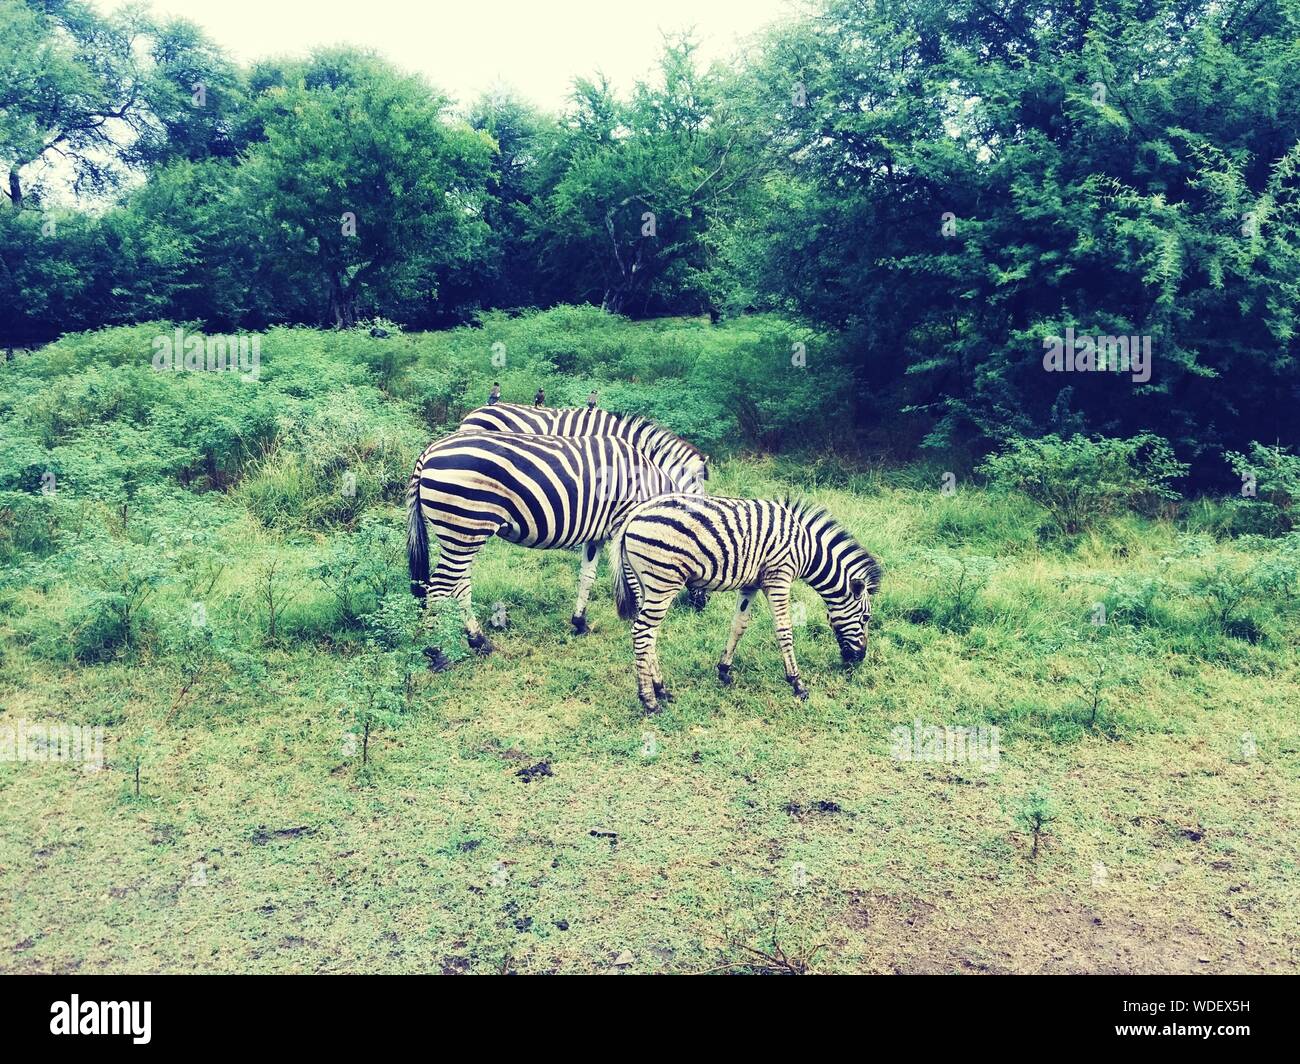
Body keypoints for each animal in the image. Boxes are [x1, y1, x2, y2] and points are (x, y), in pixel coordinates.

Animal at [406, 431, 707, 668]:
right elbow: (633, 579)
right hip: (465, 525)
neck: (648, 485)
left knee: (459, 586)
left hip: (461, 532)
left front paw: (580, 622)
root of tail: (430, 451)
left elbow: (587, 577)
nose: (702, 607)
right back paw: (437, 654)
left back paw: (479, 641)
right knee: (440, 588)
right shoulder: (623, 525)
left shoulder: (596, 534)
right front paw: (635, 614)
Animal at [610, 494, 882, 714]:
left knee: (649, 634)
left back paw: (661, 690)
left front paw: (724, 670)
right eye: (866, 618)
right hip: (664, 579)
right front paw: (797, 684)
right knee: (642, 632)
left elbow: (739, 625)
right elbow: (784, 630)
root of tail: (635, 513)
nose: (858, 659)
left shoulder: (751, 584)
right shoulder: (779, 577)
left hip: (649, 584)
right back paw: (649, 701)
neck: (805, 549)